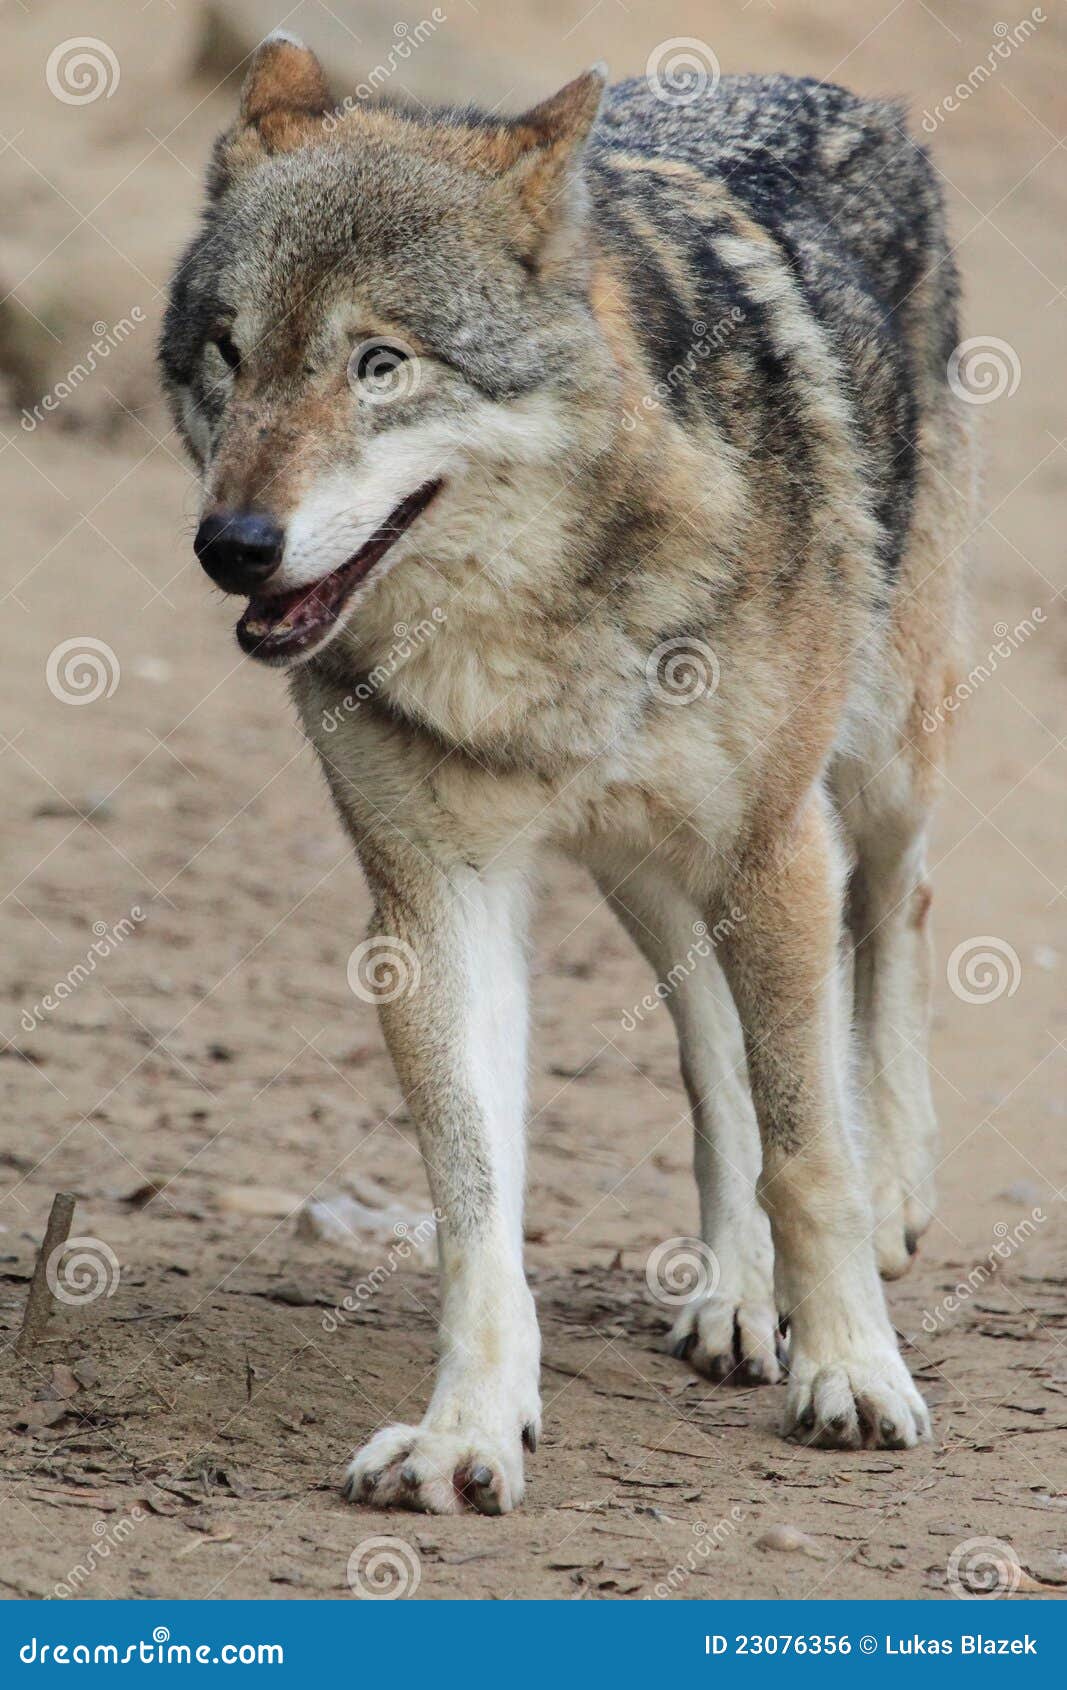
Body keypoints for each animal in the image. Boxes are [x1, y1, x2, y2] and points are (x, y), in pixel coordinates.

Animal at [160, 34, 974, 1514]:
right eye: (227, 353)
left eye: (379, 364)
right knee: (713, 1054)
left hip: (877, 765)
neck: (531, 630)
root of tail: (822, 89)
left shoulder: (775, 845)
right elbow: (476, 1202)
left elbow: (808, 1154)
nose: (232, 546)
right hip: (643, 868)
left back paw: (892, 1195)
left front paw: (852, 1369)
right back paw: (731, 1294)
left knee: (891, 923)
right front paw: (464, 1430)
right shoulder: (435, 898)